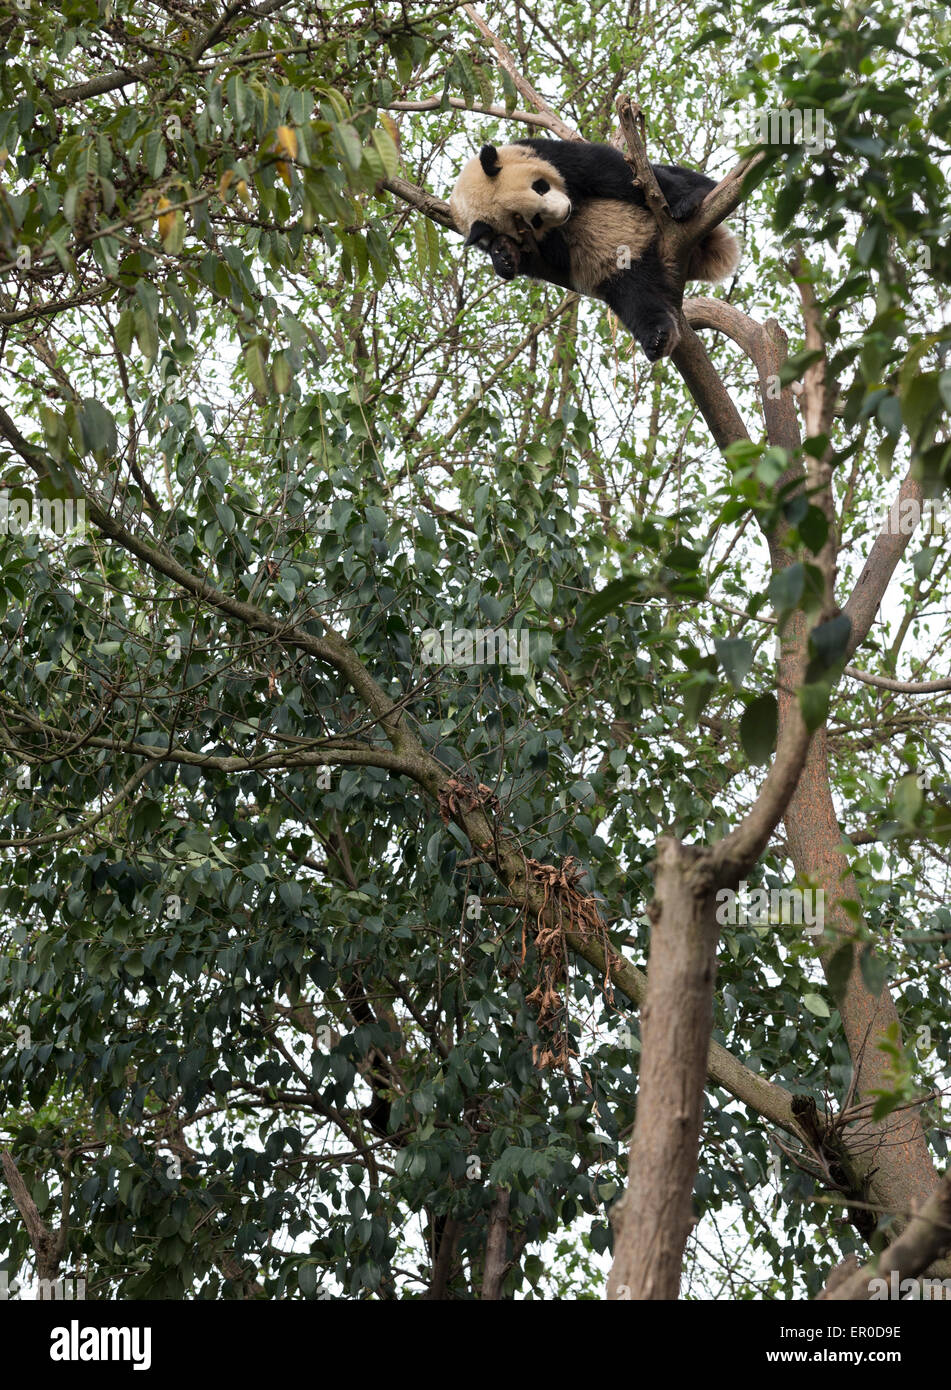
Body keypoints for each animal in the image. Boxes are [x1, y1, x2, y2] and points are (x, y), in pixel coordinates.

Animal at [449, 138, 740, 361]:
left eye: (540, 187)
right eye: (535, 220)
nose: (566, 210)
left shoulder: (549, 155)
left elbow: (614, 172)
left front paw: (683, 201)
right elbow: (548, 257)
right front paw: (504, 254)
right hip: (623, 269)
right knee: (637, 298)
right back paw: (658, 338)